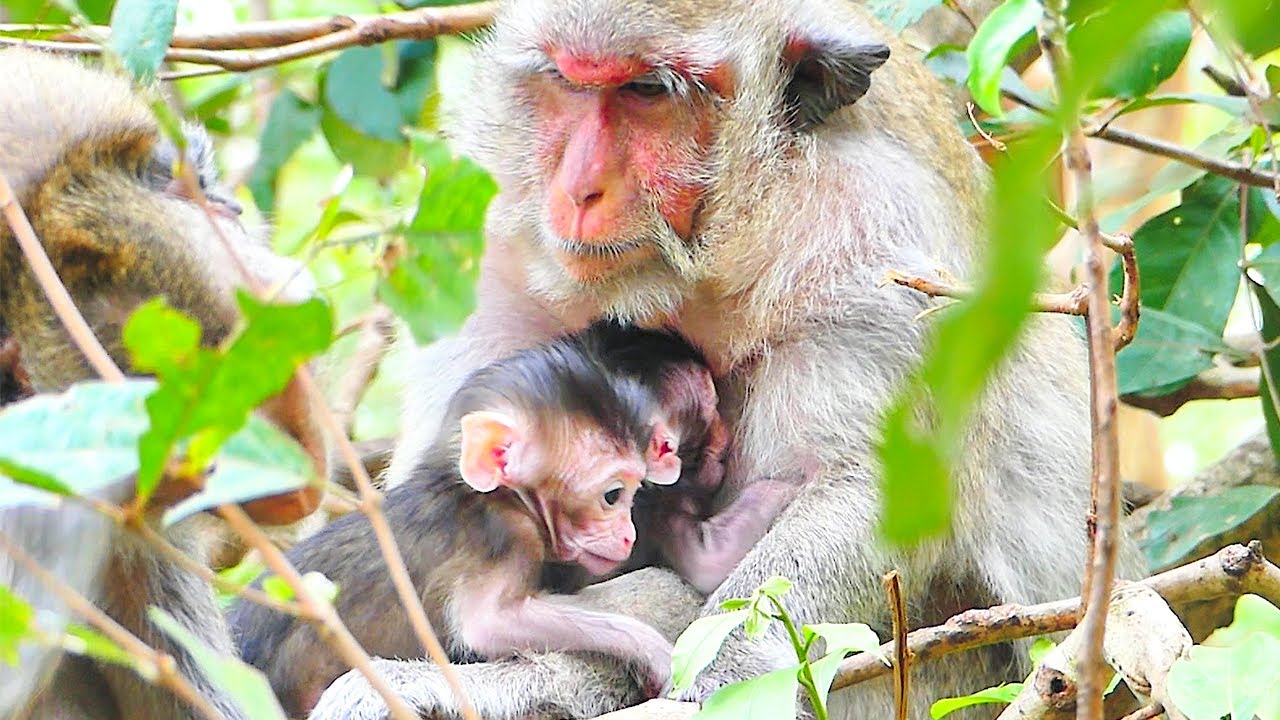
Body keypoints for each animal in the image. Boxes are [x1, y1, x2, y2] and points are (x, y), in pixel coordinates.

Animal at [230, 330, 694, 718]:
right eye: (613, 495)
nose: (628, 534)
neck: (494, 497)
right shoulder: (506, 536)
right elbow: (489, 623)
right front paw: (652, 650)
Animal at [308, 1, 1141, 719]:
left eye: (648, 92)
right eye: (569, 85)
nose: (578, 189)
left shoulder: (879, 252)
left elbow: (881, 493)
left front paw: (726, 671)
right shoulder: (500, 260)